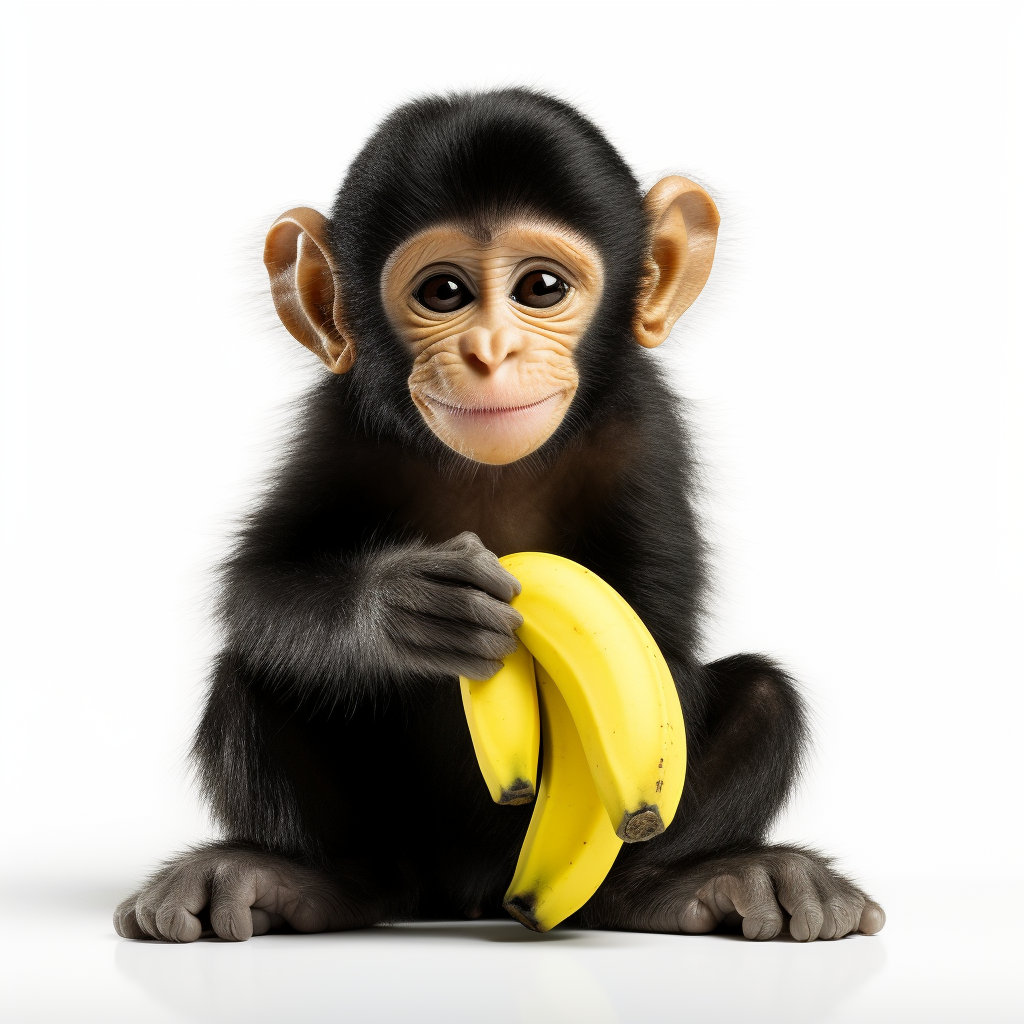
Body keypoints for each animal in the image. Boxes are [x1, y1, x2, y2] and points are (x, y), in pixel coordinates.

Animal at [114, 87, 885, 943]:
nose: (490, 350)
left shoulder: (645, 433)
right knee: (259, 676)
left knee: (764, 696)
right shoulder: (336, 422)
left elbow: (660, 653)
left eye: (541, 288)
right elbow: (260, 585)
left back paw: (692, 886)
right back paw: (296, 883)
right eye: (444, 293)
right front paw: (399, 608)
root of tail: (473, 892)